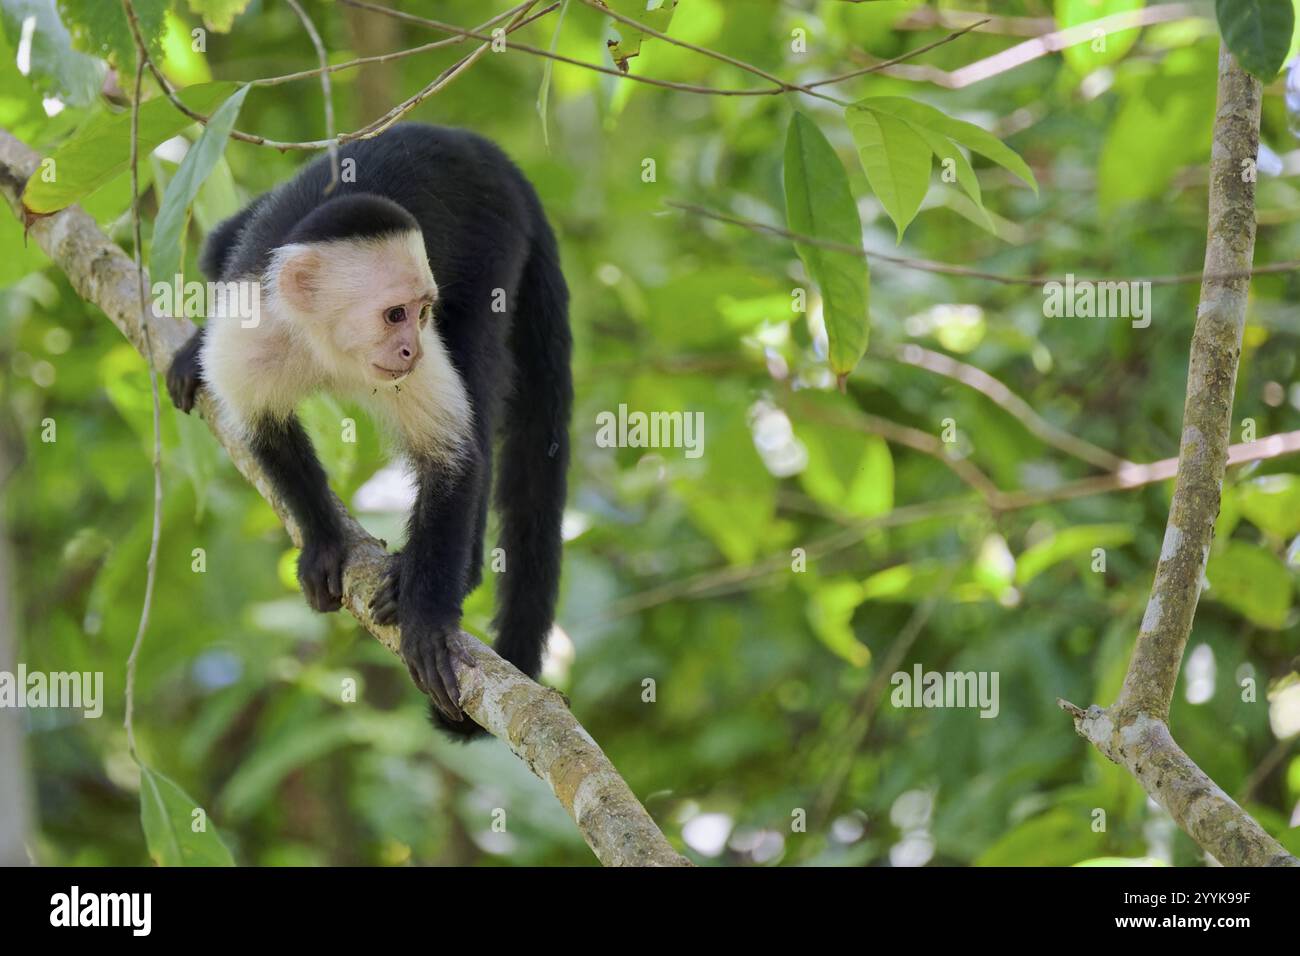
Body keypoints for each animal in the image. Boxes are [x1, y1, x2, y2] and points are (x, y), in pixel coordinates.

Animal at [165, 123, 572, 739]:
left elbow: (454, 457)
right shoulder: (248, 335)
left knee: (476, 364)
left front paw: (427, 619)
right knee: (219, 242)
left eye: (419, 312)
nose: (411, 349)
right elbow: (264, 430)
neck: (324, 345)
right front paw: (324, 543)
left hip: (494, 232)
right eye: (393, 314)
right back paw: (192, 349)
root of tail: (474, 143)